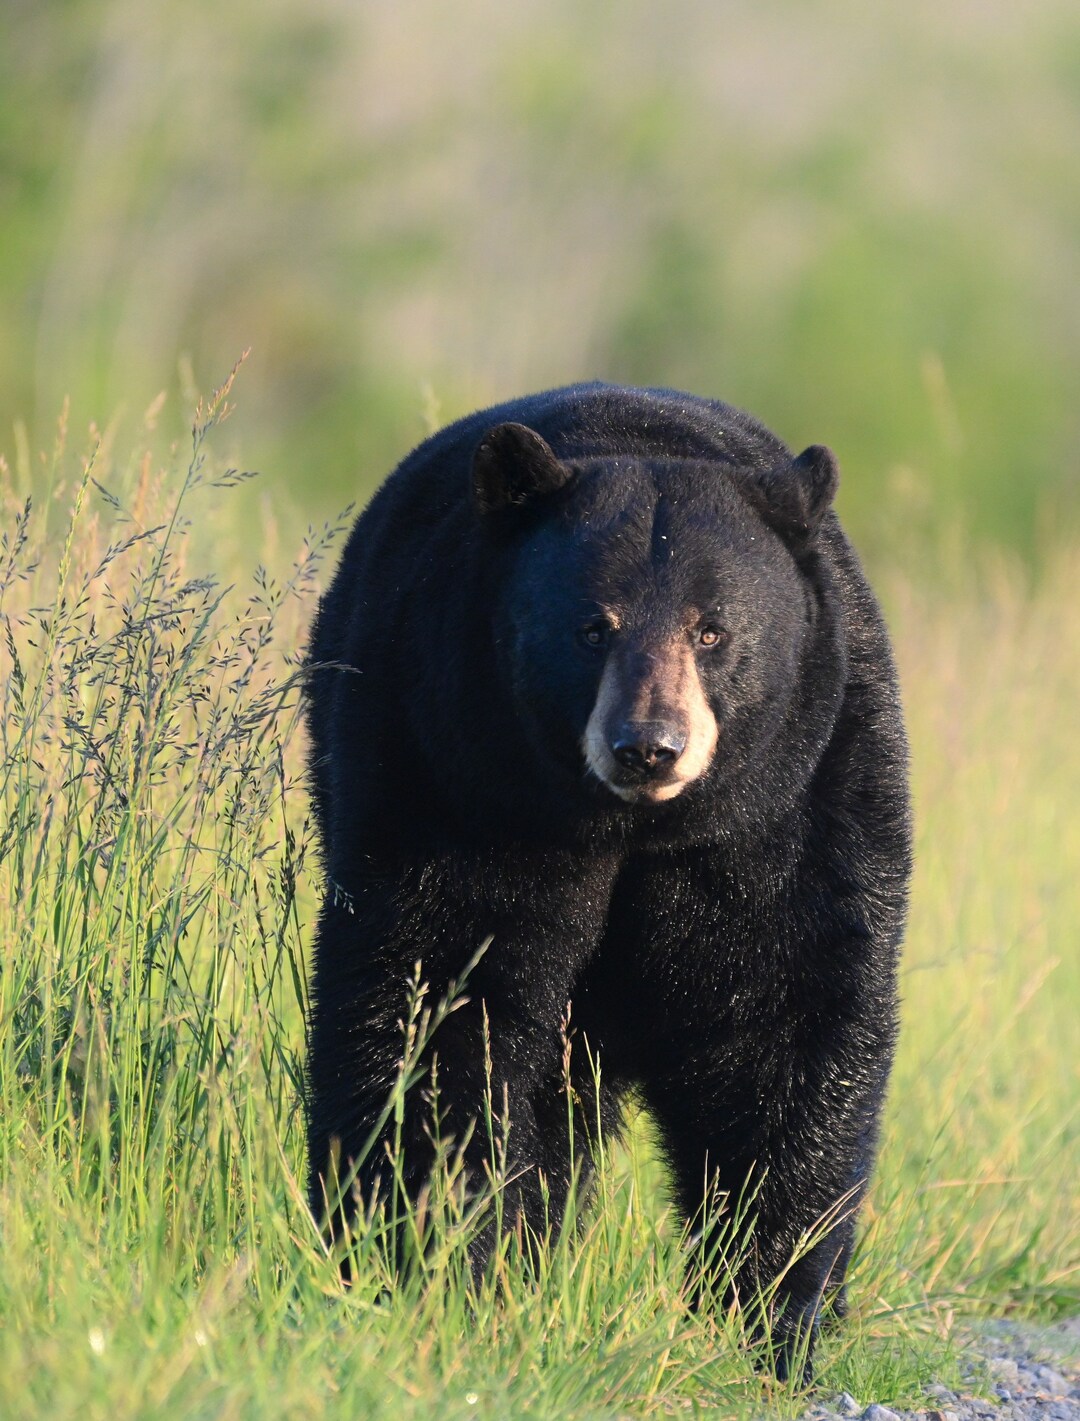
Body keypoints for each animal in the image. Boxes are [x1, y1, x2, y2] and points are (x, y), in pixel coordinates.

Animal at [304, 382, 911, 1380]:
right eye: (593, 626)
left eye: (713, 629)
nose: (648, 745)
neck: (629, 831)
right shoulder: (455, 771)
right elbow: (440, 994)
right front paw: (421, 1258)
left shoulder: (791, 804)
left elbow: (785, 1015)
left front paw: (772, 1312)